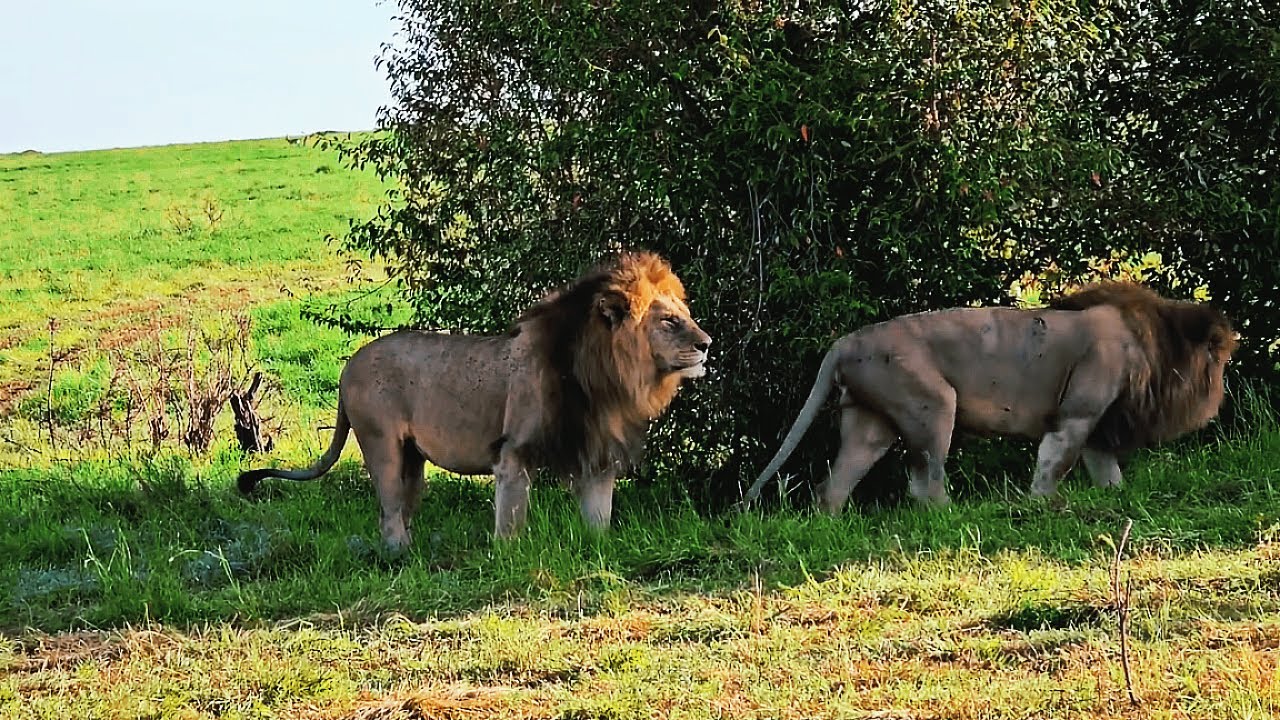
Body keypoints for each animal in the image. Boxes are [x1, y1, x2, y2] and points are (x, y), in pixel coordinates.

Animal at [238, 251, 711, 551]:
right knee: (388, 511)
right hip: (380, 443)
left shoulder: (597, 455)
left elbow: (599, 520)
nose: (707, 344)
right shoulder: (513, 454)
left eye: (686, 315)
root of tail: (347, 366)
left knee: (401, 507)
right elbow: (512, 518)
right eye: (669, 322)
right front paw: (508, 558)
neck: (609, 380)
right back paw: (401, 557)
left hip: (413, 460)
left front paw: (599, 552)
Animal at [742, 282, 1237, 511]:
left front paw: (1114, 500)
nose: (1222, 396)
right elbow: (1053, 464)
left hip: (870, 424)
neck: (1153, 346)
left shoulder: (1098, 428)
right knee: (924, 485)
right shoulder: (1076, 415)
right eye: (1219, 356)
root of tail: (844, 343)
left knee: (833, 486)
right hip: (933, 405)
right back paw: (955, 515)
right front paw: (1043, 505)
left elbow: (1107, 473)